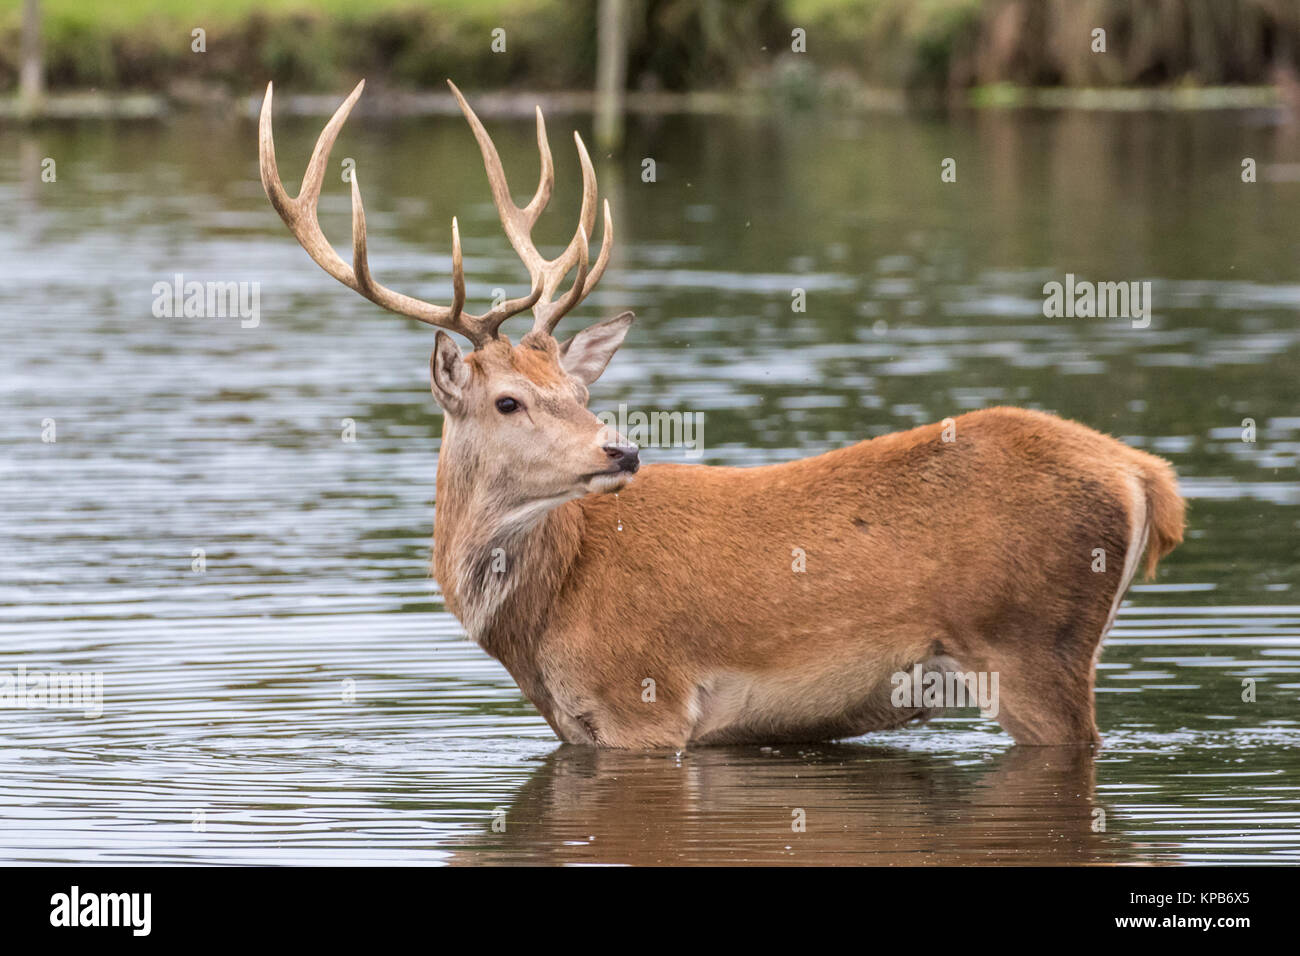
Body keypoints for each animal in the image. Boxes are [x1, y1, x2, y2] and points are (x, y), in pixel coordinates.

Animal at [259, 79, 1186, 749]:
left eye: (579, 394)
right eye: (509, 398)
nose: (620, 451)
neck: (539, 624)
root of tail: (1145, 476)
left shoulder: (641, 699)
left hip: (1034, 645)